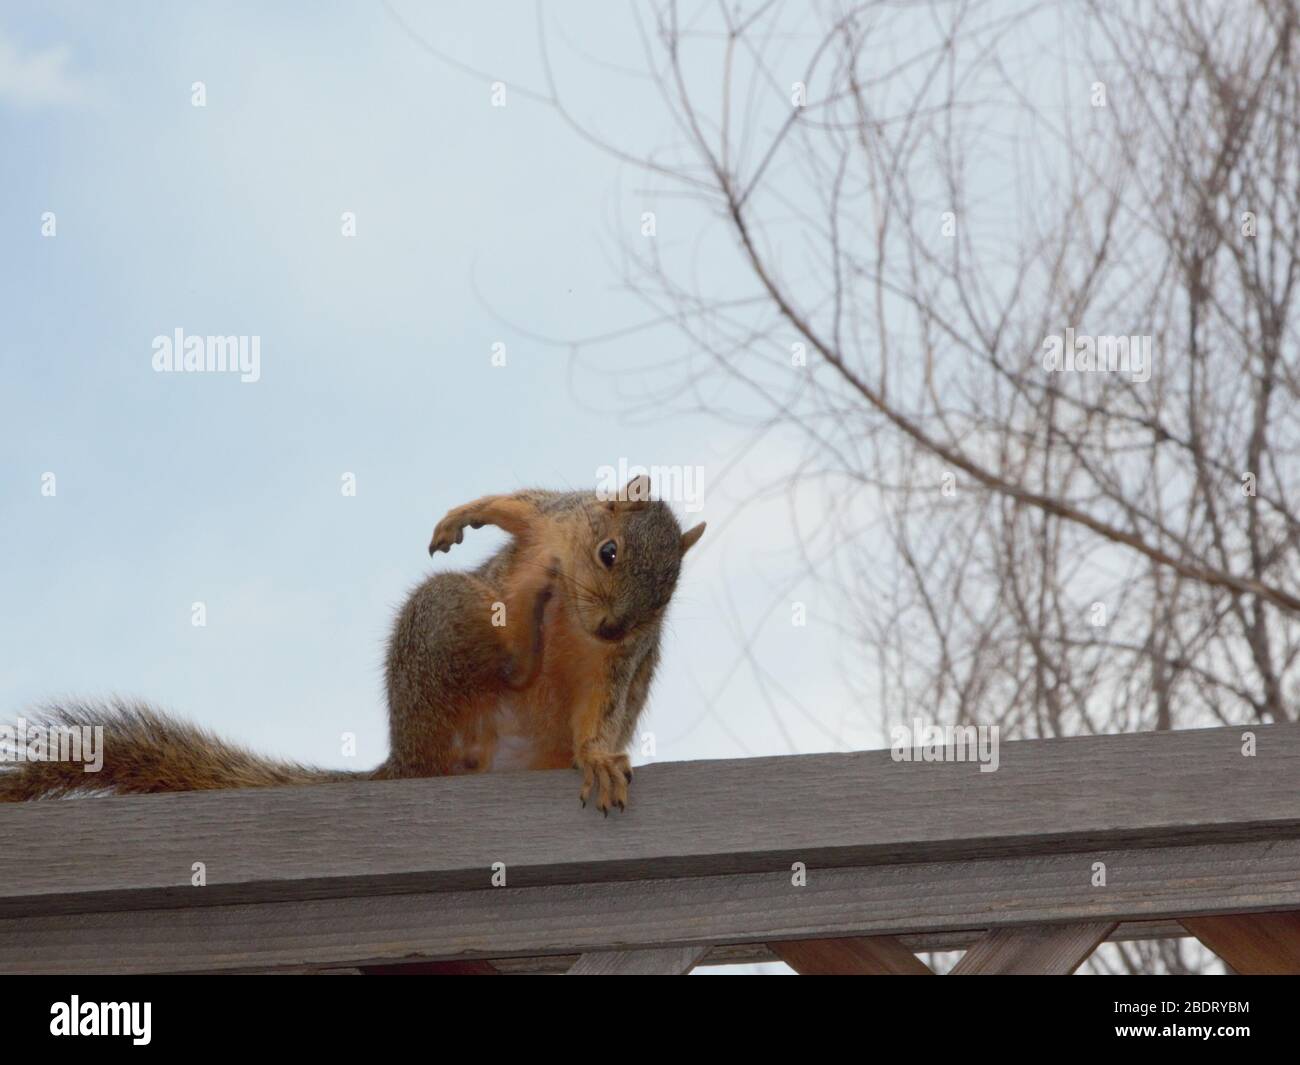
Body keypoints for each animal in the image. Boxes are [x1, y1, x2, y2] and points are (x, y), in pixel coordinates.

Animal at [0, 475, 705, 813]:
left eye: (664, 598)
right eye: (608, 552)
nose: (612, 628)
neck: (577, 625)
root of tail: (407, 757)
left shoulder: (618, 668)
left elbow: (599, 715)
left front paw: (600, 760)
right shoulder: (551, 516)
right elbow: (513, 505)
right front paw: (462, 517)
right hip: (441, 619)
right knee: (496, 656)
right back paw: (526, 628)